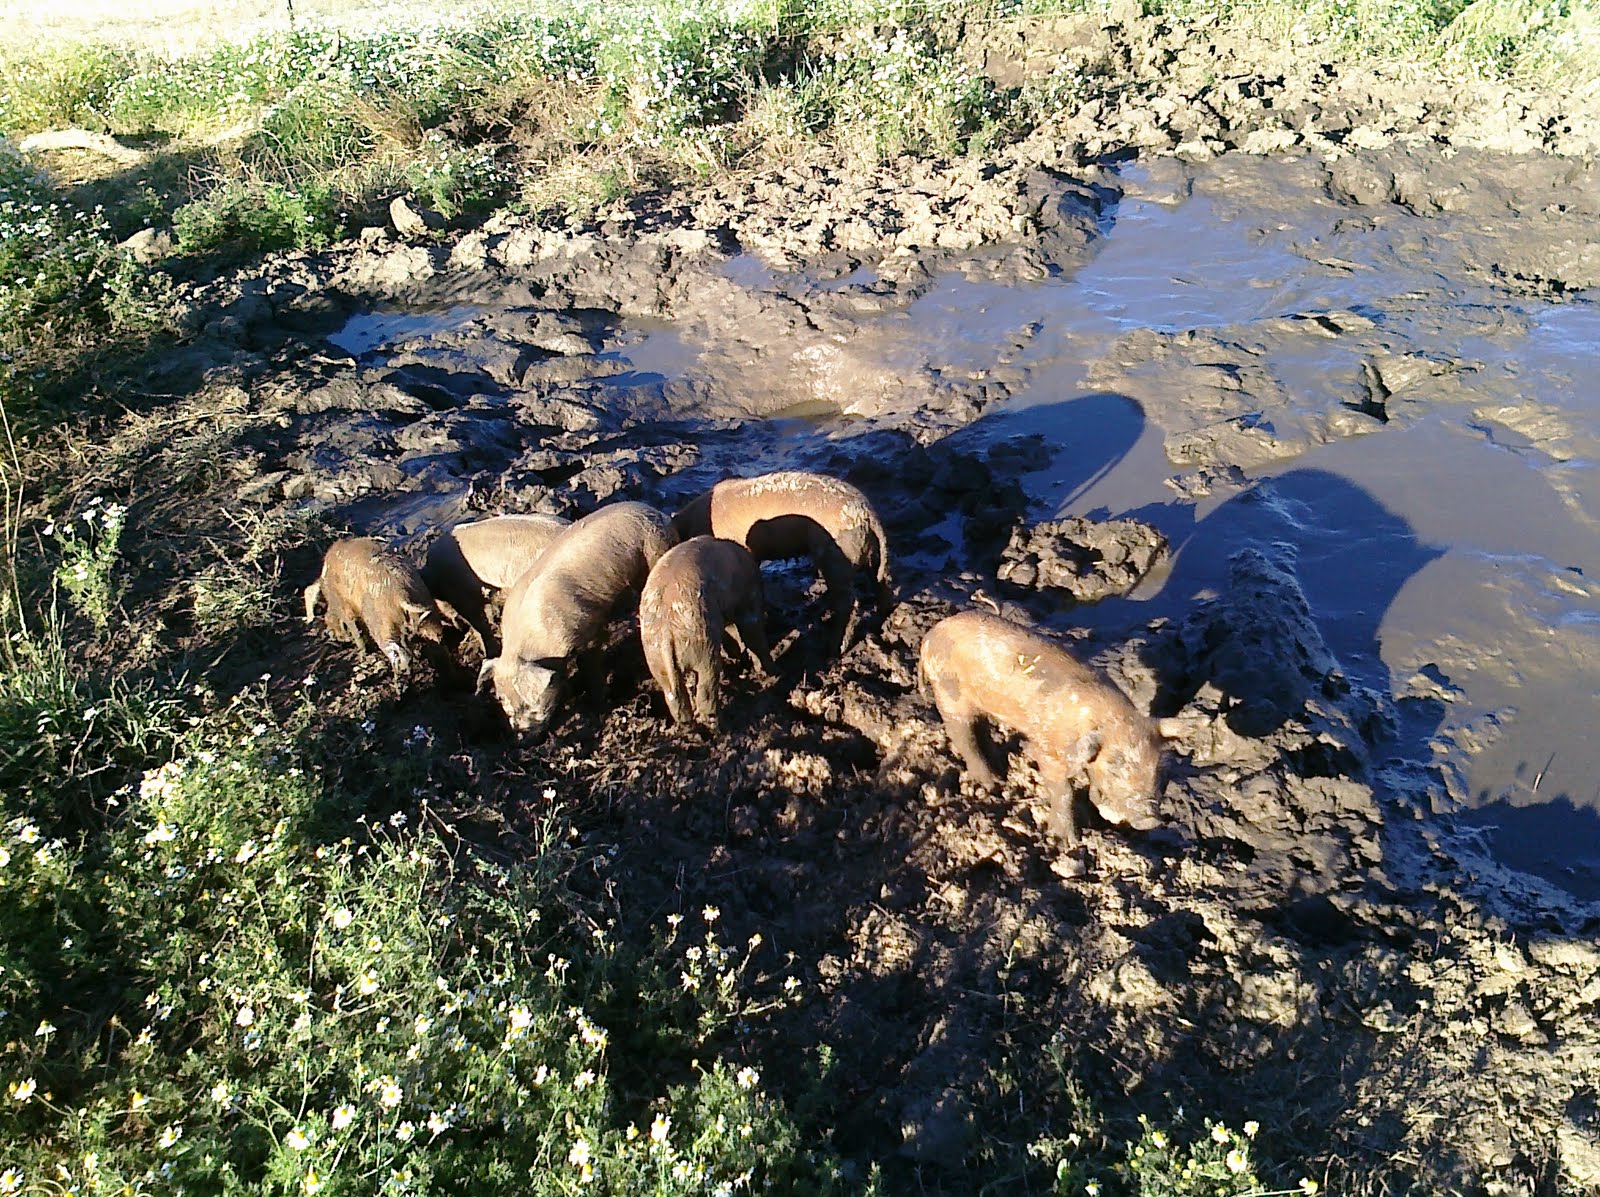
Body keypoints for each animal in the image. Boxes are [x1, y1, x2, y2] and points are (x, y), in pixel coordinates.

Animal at [303, 537, 448, 674]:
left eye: (327, 621)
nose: (330, 634)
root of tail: (400, 592)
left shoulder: (346, 608)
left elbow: (356, 631)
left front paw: (362, 655)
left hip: (379, 622)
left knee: (396, 649)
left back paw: (401, 672)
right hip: (426, 604)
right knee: (436, 637)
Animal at [482, 501, 675, 735]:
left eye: (530, 706)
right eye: (504, 703)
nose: (521, 734)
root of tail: (656, 512)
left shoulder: (586, 629)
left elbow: (589, 662)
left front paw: (598, 703)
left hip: (655, 549)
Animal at [639, 536, 773, 727]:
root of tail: (666, 631)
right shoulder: (749, 602)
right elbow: (753, 635)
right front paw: (771, 672)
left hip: (656, 660)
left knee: (673, 696)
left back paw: (688, 726)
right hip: (703, 649)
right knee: (706, 686)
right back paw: (716, 723)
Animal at [671, 471, 893, 653]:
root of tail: (868, 514)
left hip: (835, 555)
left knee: (848, 601)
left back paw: (834, 650)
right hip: (871, 554)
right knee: (881, 581)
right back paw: (883, 619)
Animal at [918, 609, 1163, 856]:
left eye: (1156, 767)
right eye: (1113, 766)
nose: (1150, 820)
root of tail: (930, 635)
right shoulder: (1050, 751)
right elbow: (1064, 791)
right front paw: (1065, 843)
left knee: (981, 728)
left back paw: (1001, 771)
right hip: (948, 691)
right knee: (962, 735)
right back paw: (991, 785)